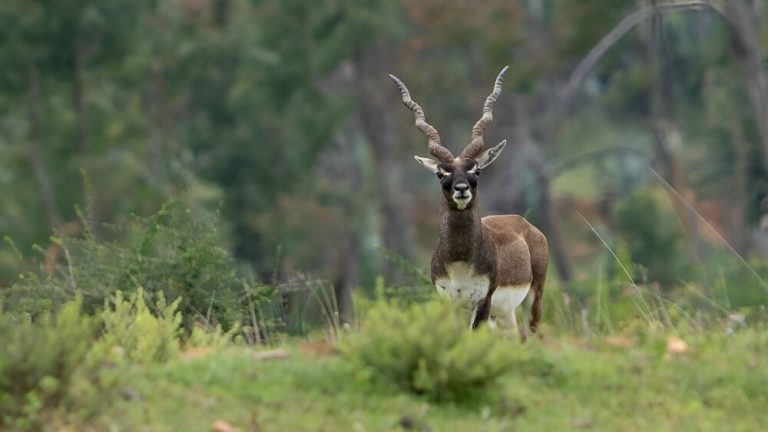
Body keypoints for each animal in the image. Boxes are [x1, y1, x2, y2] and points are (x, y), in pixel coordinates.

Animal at [389, 66, 549, 338]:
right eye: (441, 173)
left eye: (476, 170)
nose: (462, 189)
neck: (461, 262)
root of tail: (526, 225)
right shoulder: (450, 303)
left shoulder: (483, 302)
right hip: (504, 314)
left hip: (532, 299)